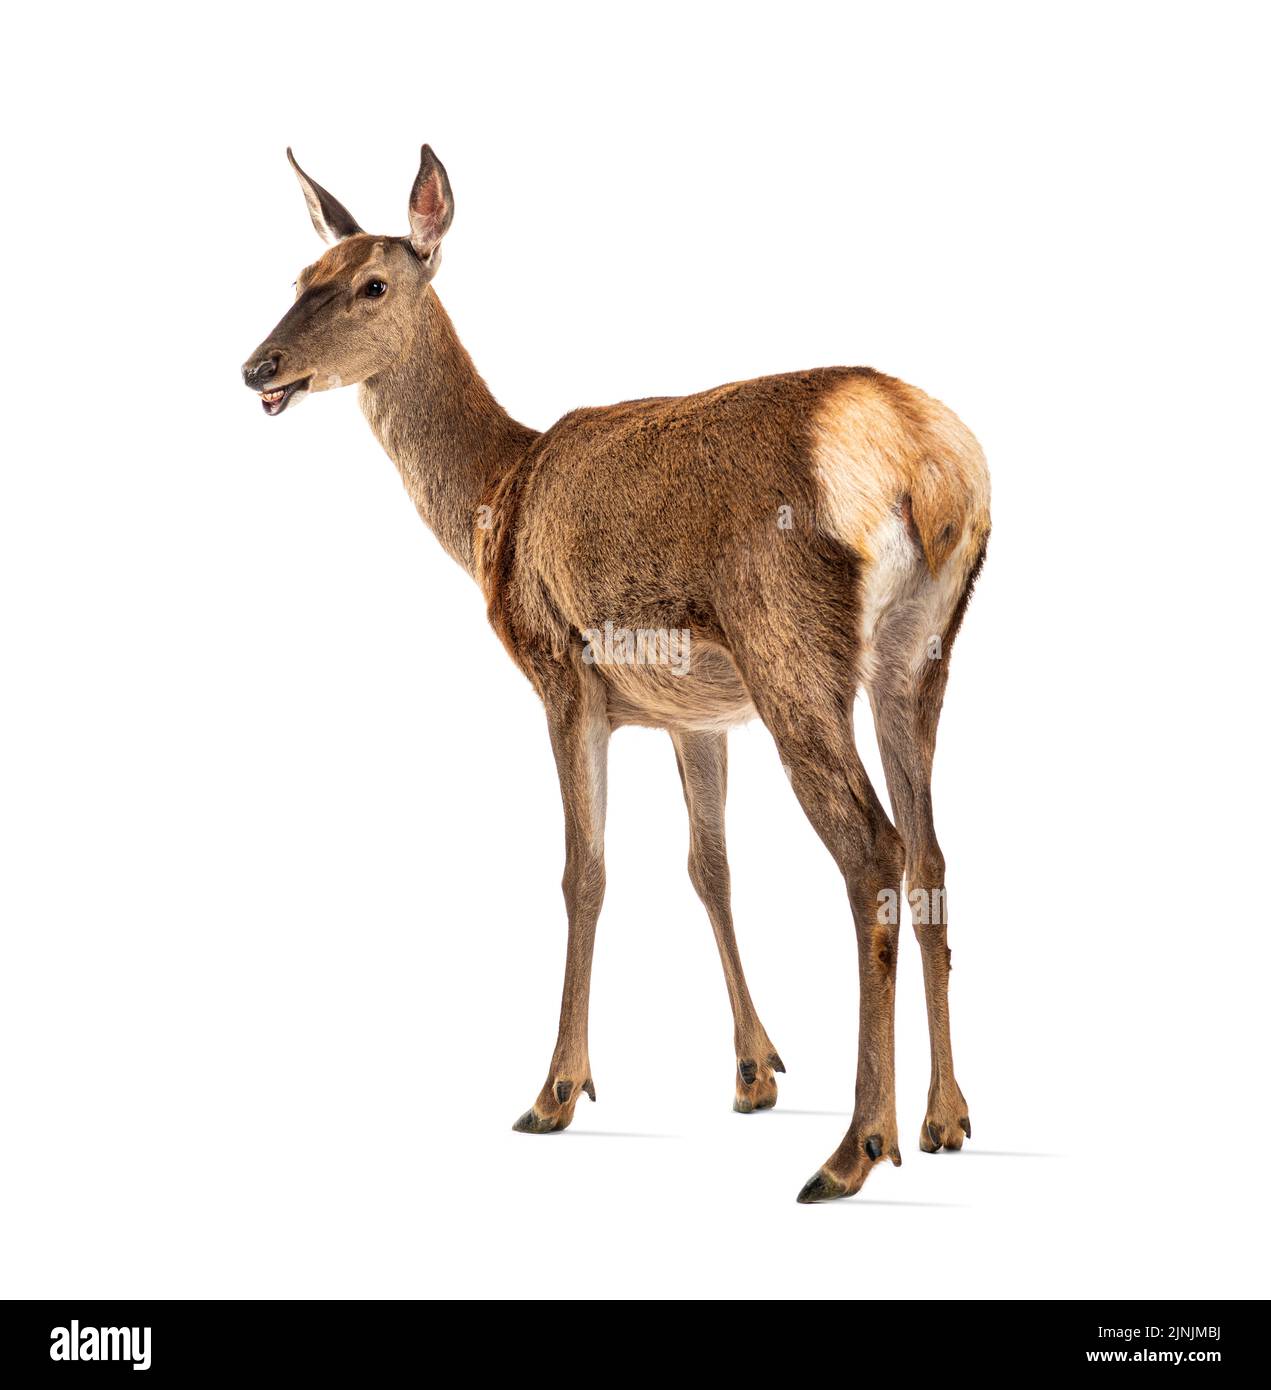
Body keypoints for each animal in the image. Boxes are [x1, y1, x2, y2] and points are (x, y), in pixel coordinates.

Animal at [242, 145, 990, 1202]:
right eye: (299, 276)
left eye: (371, 284)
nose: (256, 367)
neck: (494, 500)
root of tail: (929, 469)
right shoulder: (695, 712)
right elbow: (709, 867)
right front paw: (754, 1072)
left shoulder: (561, 671)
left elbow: (583, 870)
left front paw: (555, 1091)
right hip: (921, 655)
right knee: (929, 854)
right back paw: (944, 1118)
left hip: (791, 649)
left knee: (872, 853)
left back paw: (853, 1149)